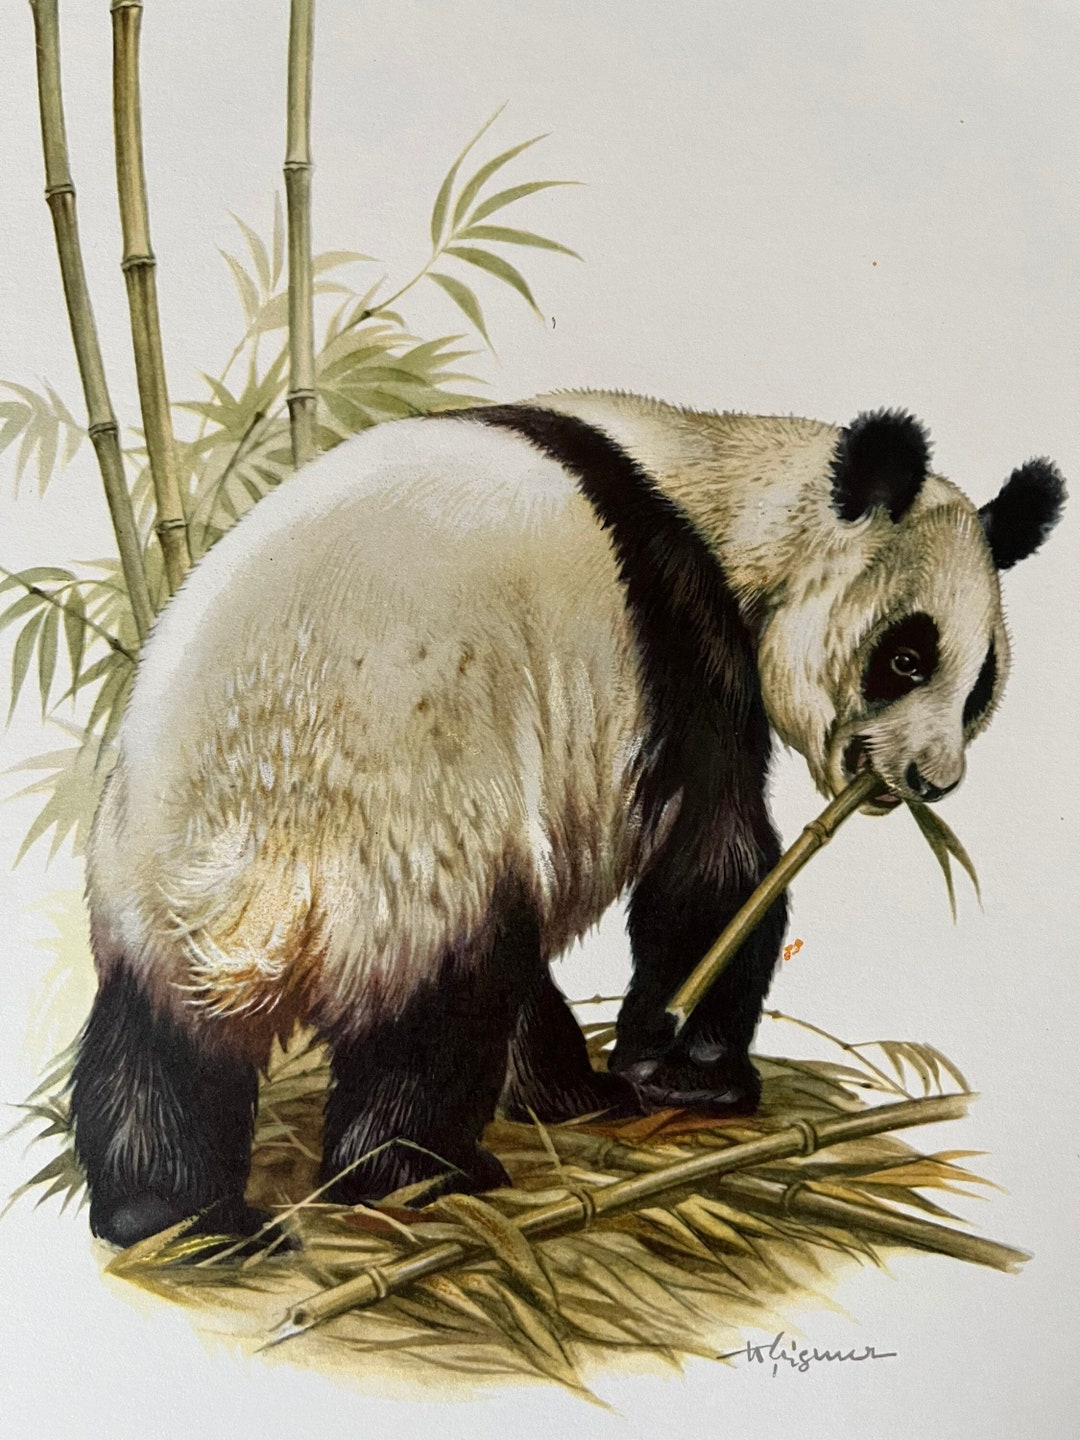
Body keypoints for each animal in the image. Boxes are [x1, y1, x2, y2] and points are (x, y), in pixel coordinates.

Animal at [70, 392, 1065, 1248]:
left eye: (980, 684)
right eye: (906, 656)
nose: (932, 780)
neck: (732, 494)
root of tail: (257, 895)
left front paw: (579, 1091)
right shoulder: (677, 634)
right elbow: (712, 860)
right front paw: (688, 1069)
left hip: (151, 876)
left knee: (157, 1044)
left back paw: (169, 1213)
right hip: (412, 838)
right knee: (441, 1003)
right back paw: (415, 1174)